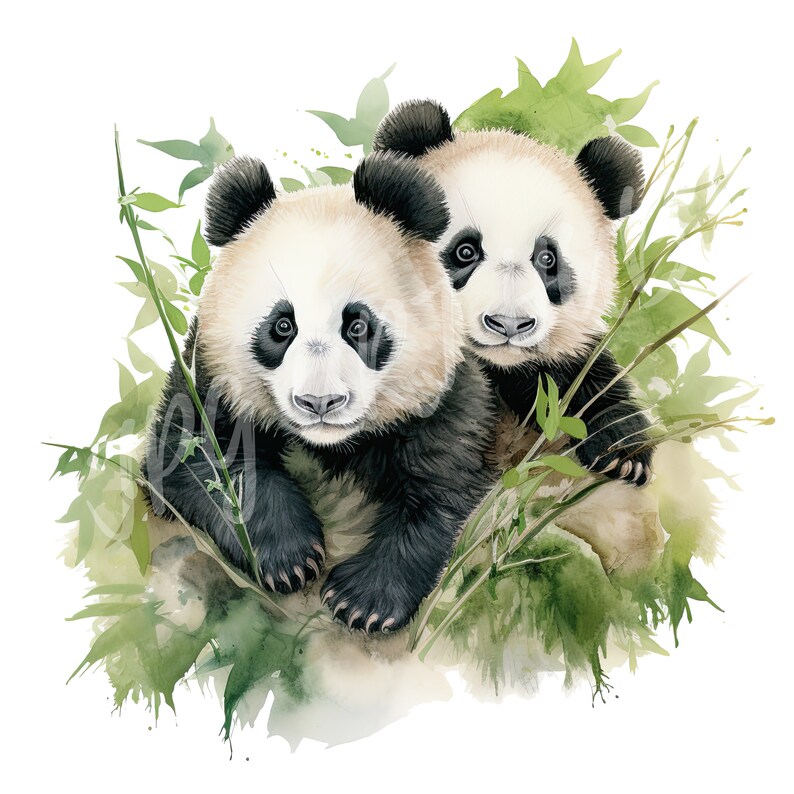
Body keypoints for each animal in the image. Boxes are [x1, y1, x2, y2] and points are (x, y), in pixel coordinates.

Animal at [143, 151, 495, 633]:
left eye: (358, 325)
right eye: (282, 325)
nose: (320, 403)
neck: (331, 445)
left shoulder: (446, 398)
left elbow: (442, 494)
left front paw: (363, 601)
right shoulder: (206, 379)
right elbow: (193, 458)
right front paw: (288, 556)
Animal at [372, 100, 654, 486]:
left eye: (547, 258)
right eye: (465, 251)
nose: (508, 324)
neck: (498, 370)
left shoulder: (562, 361)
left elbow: (594, 386)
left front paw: (624, 456)